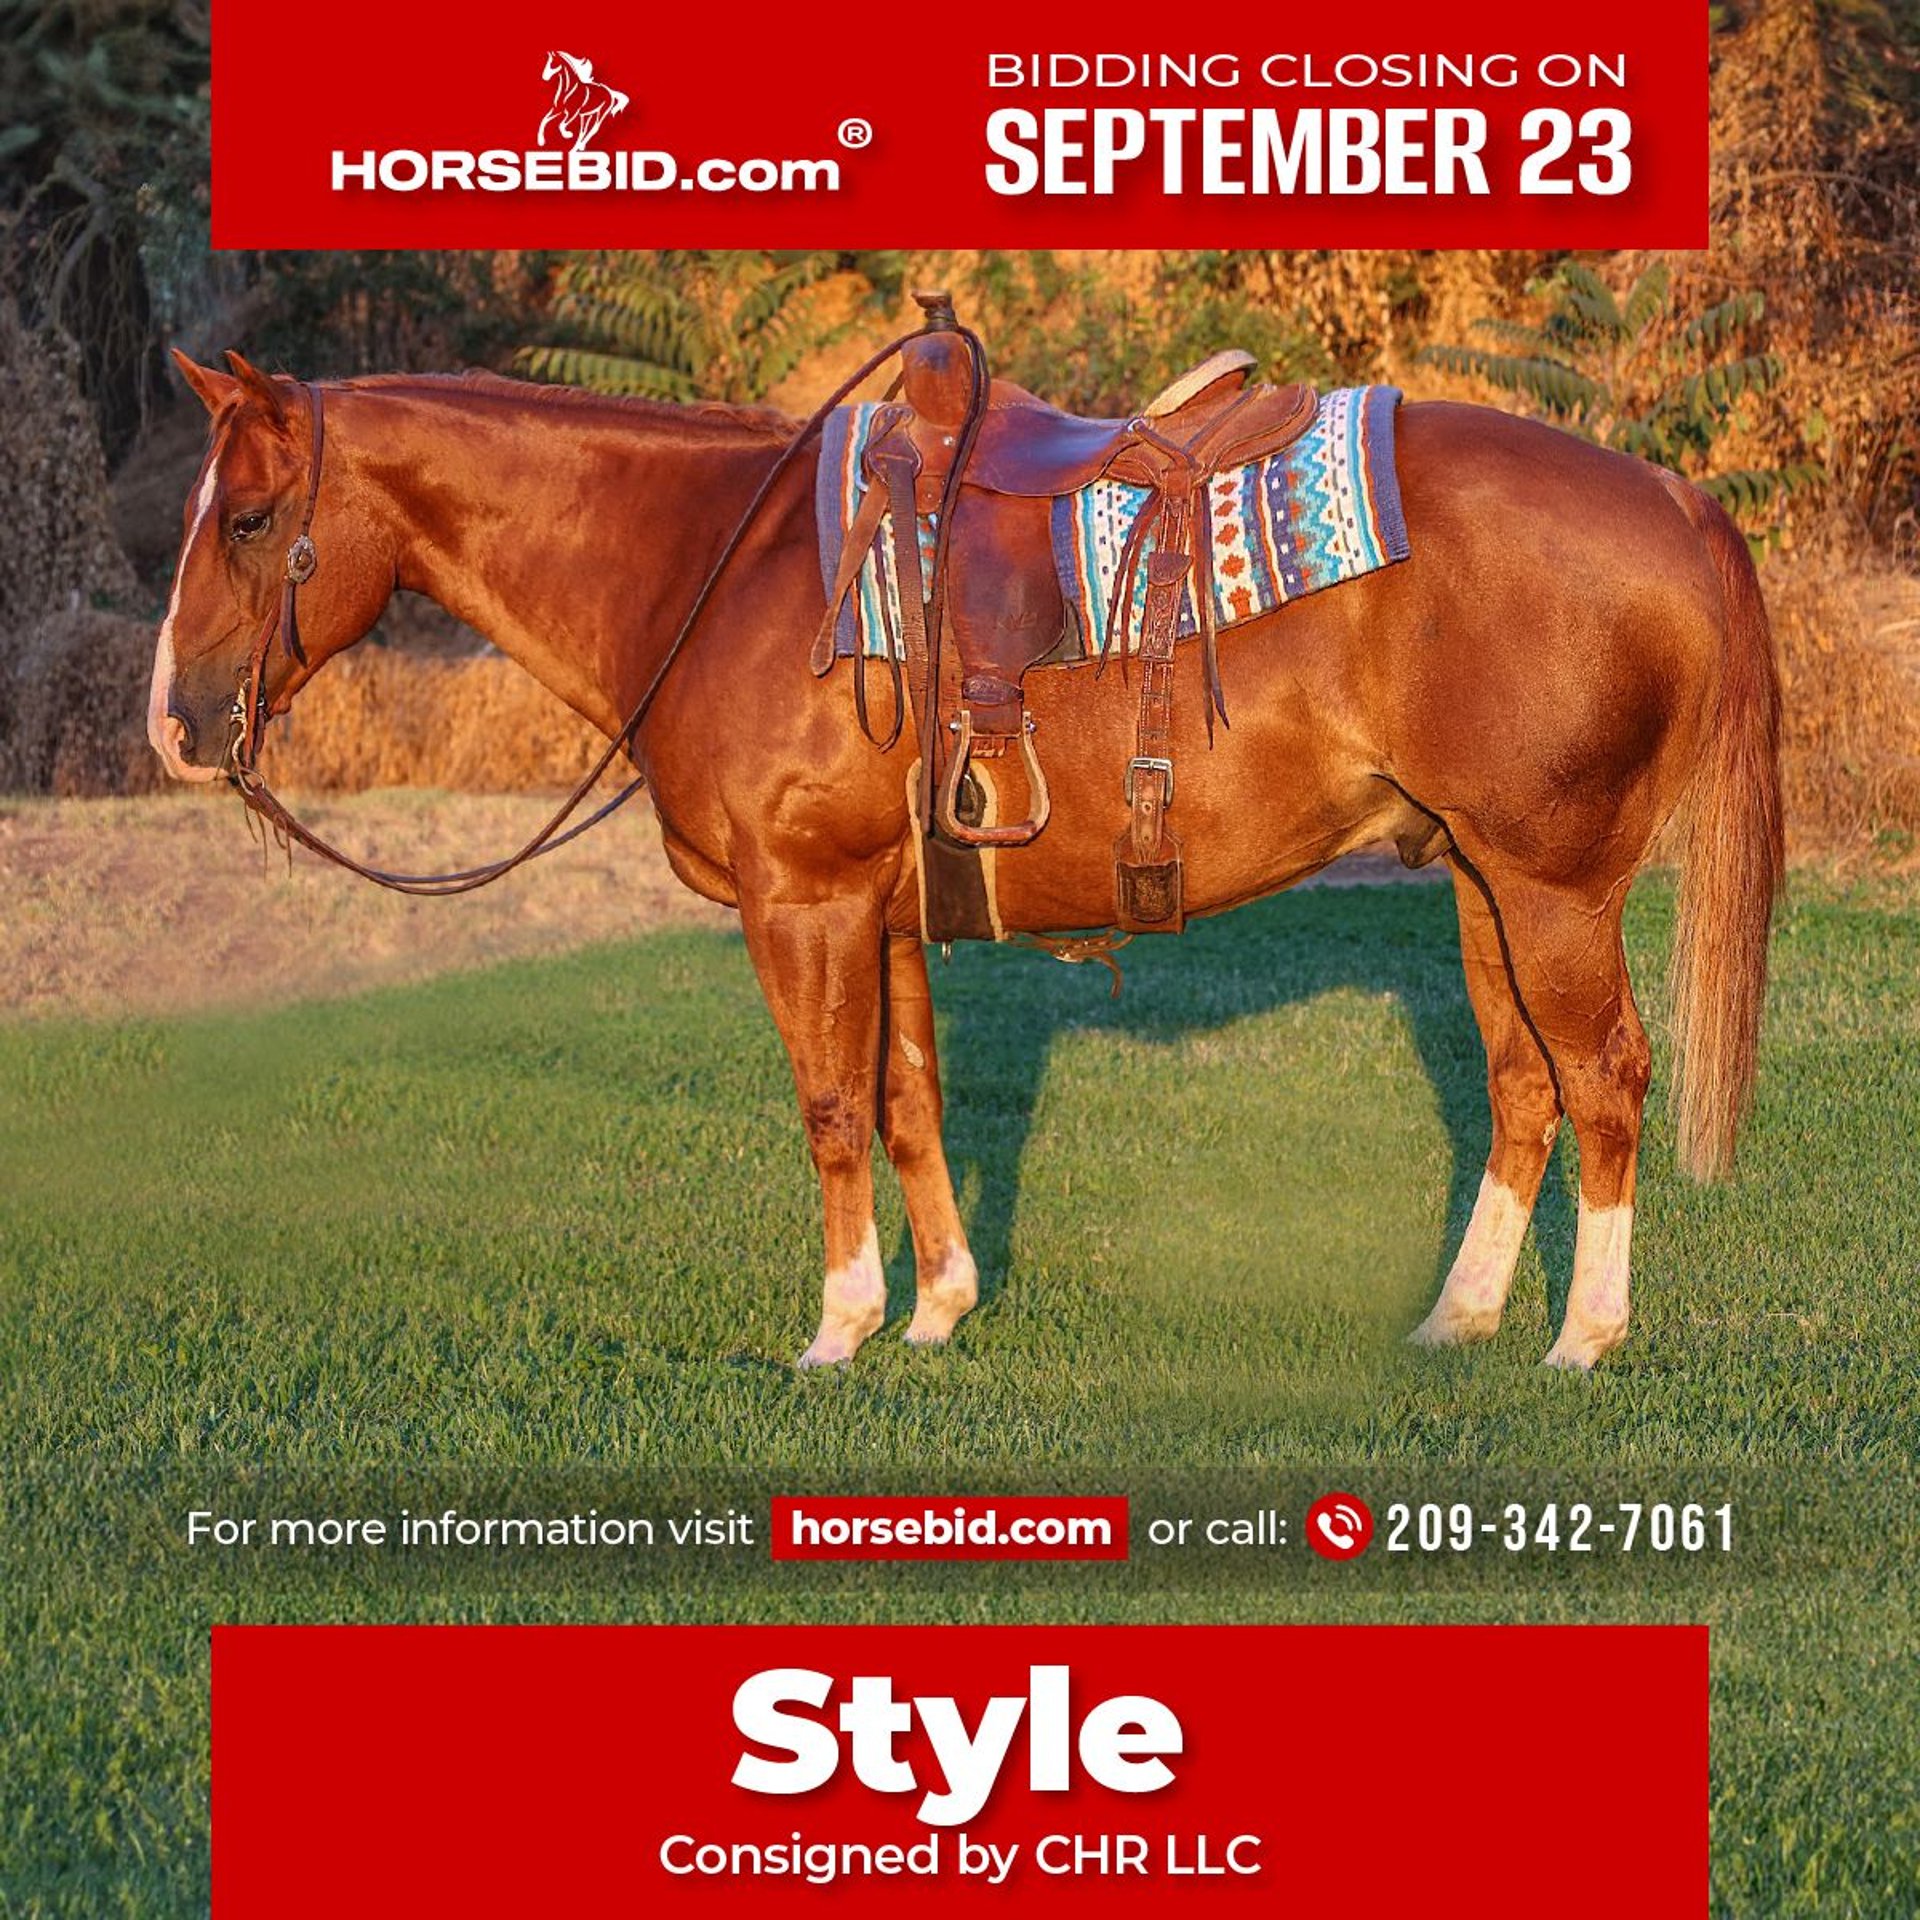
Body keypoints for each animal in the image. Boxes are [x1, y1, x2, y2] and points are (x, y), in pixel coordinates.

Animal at [148, 348, 1783, 1373]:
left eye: (251, 519)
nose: (172, 721)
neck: (716, 568)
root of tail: (1671, 497)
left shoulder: (802, 904)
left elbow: (827, 1108)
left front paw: (838, 1327)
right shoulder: (880, 912)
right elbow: (912, 1100)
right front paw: (937, 1310)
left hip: (1553, 887)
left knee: (1606, 1077)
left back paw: (1584, 1337)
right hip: (1478, 883)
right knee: (1523, 1087)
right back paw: (1463, 1322)